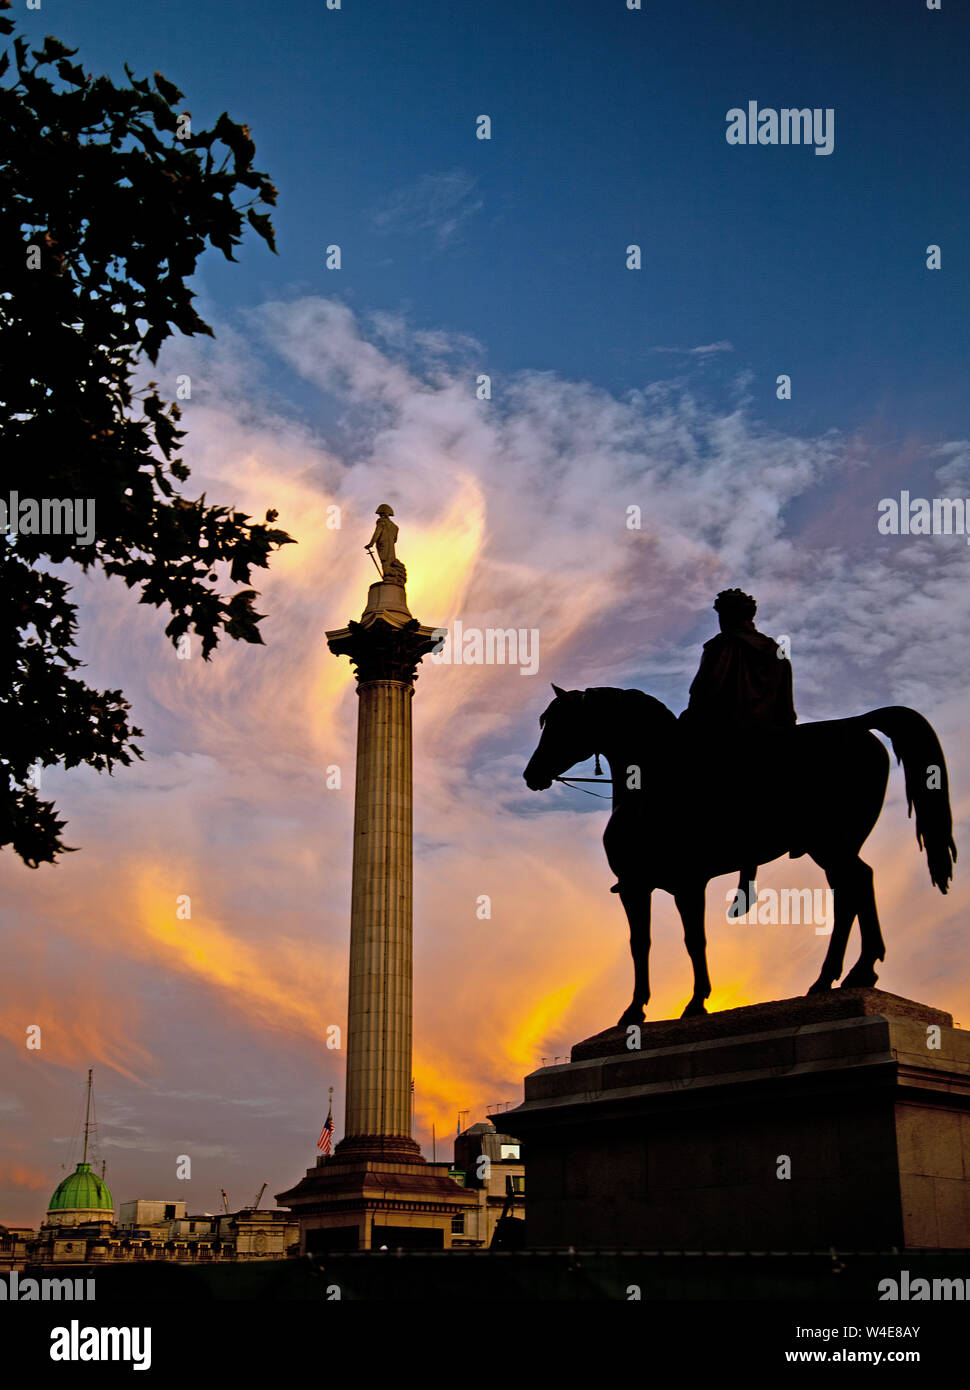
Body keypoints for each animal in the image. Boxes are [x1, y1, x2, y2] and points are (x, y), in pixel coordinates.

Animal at [522, 683, 950, 1023]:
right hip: (832, 847)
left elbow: (684, 940)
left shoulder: (671, 884)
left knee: (857, 884)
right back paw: (835, 978)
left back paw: (856, 972)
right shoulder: (649, 885)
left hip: (831, 845)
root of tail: (857, 724)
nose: (531, 775)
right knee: (851, 891)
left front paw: (683, 1004)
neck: (653, 780)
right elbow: (651, 943)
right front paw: (649, 1008)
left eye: (560, 723)